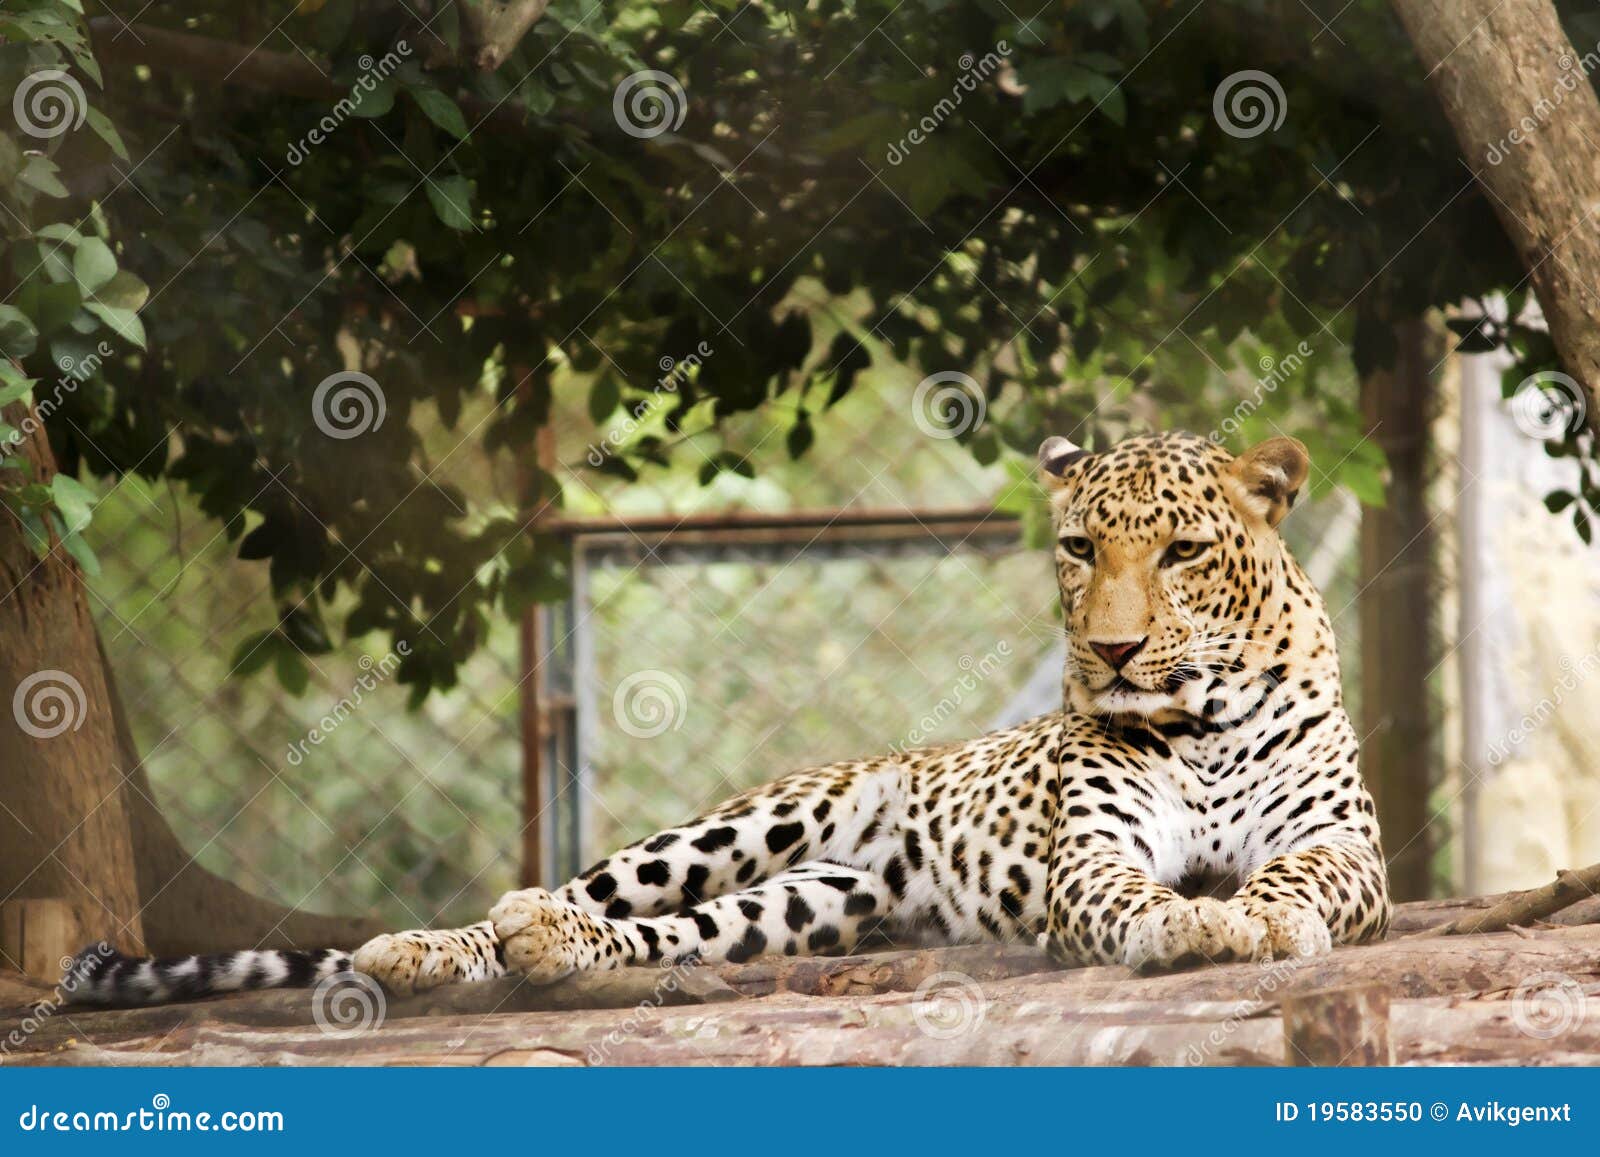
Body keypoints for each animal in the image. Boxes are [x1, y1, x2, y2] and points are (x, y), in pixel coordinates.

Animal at [67, 429, 1390, 1006]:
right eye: (1077, 549)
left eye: (1179, 553)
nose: (1109, 649)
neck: (1200, 716)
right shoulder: (1094, 852)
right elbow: (1128, 889)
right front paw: (1186, 921)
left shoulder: (1341, 845)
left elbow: (1292, 880)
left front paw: (1246, 918)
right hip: (739, 827)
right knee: (573, 897)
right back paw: (444, 944)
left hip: (821, 901)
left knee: (671, 936)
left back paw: (553, 947)